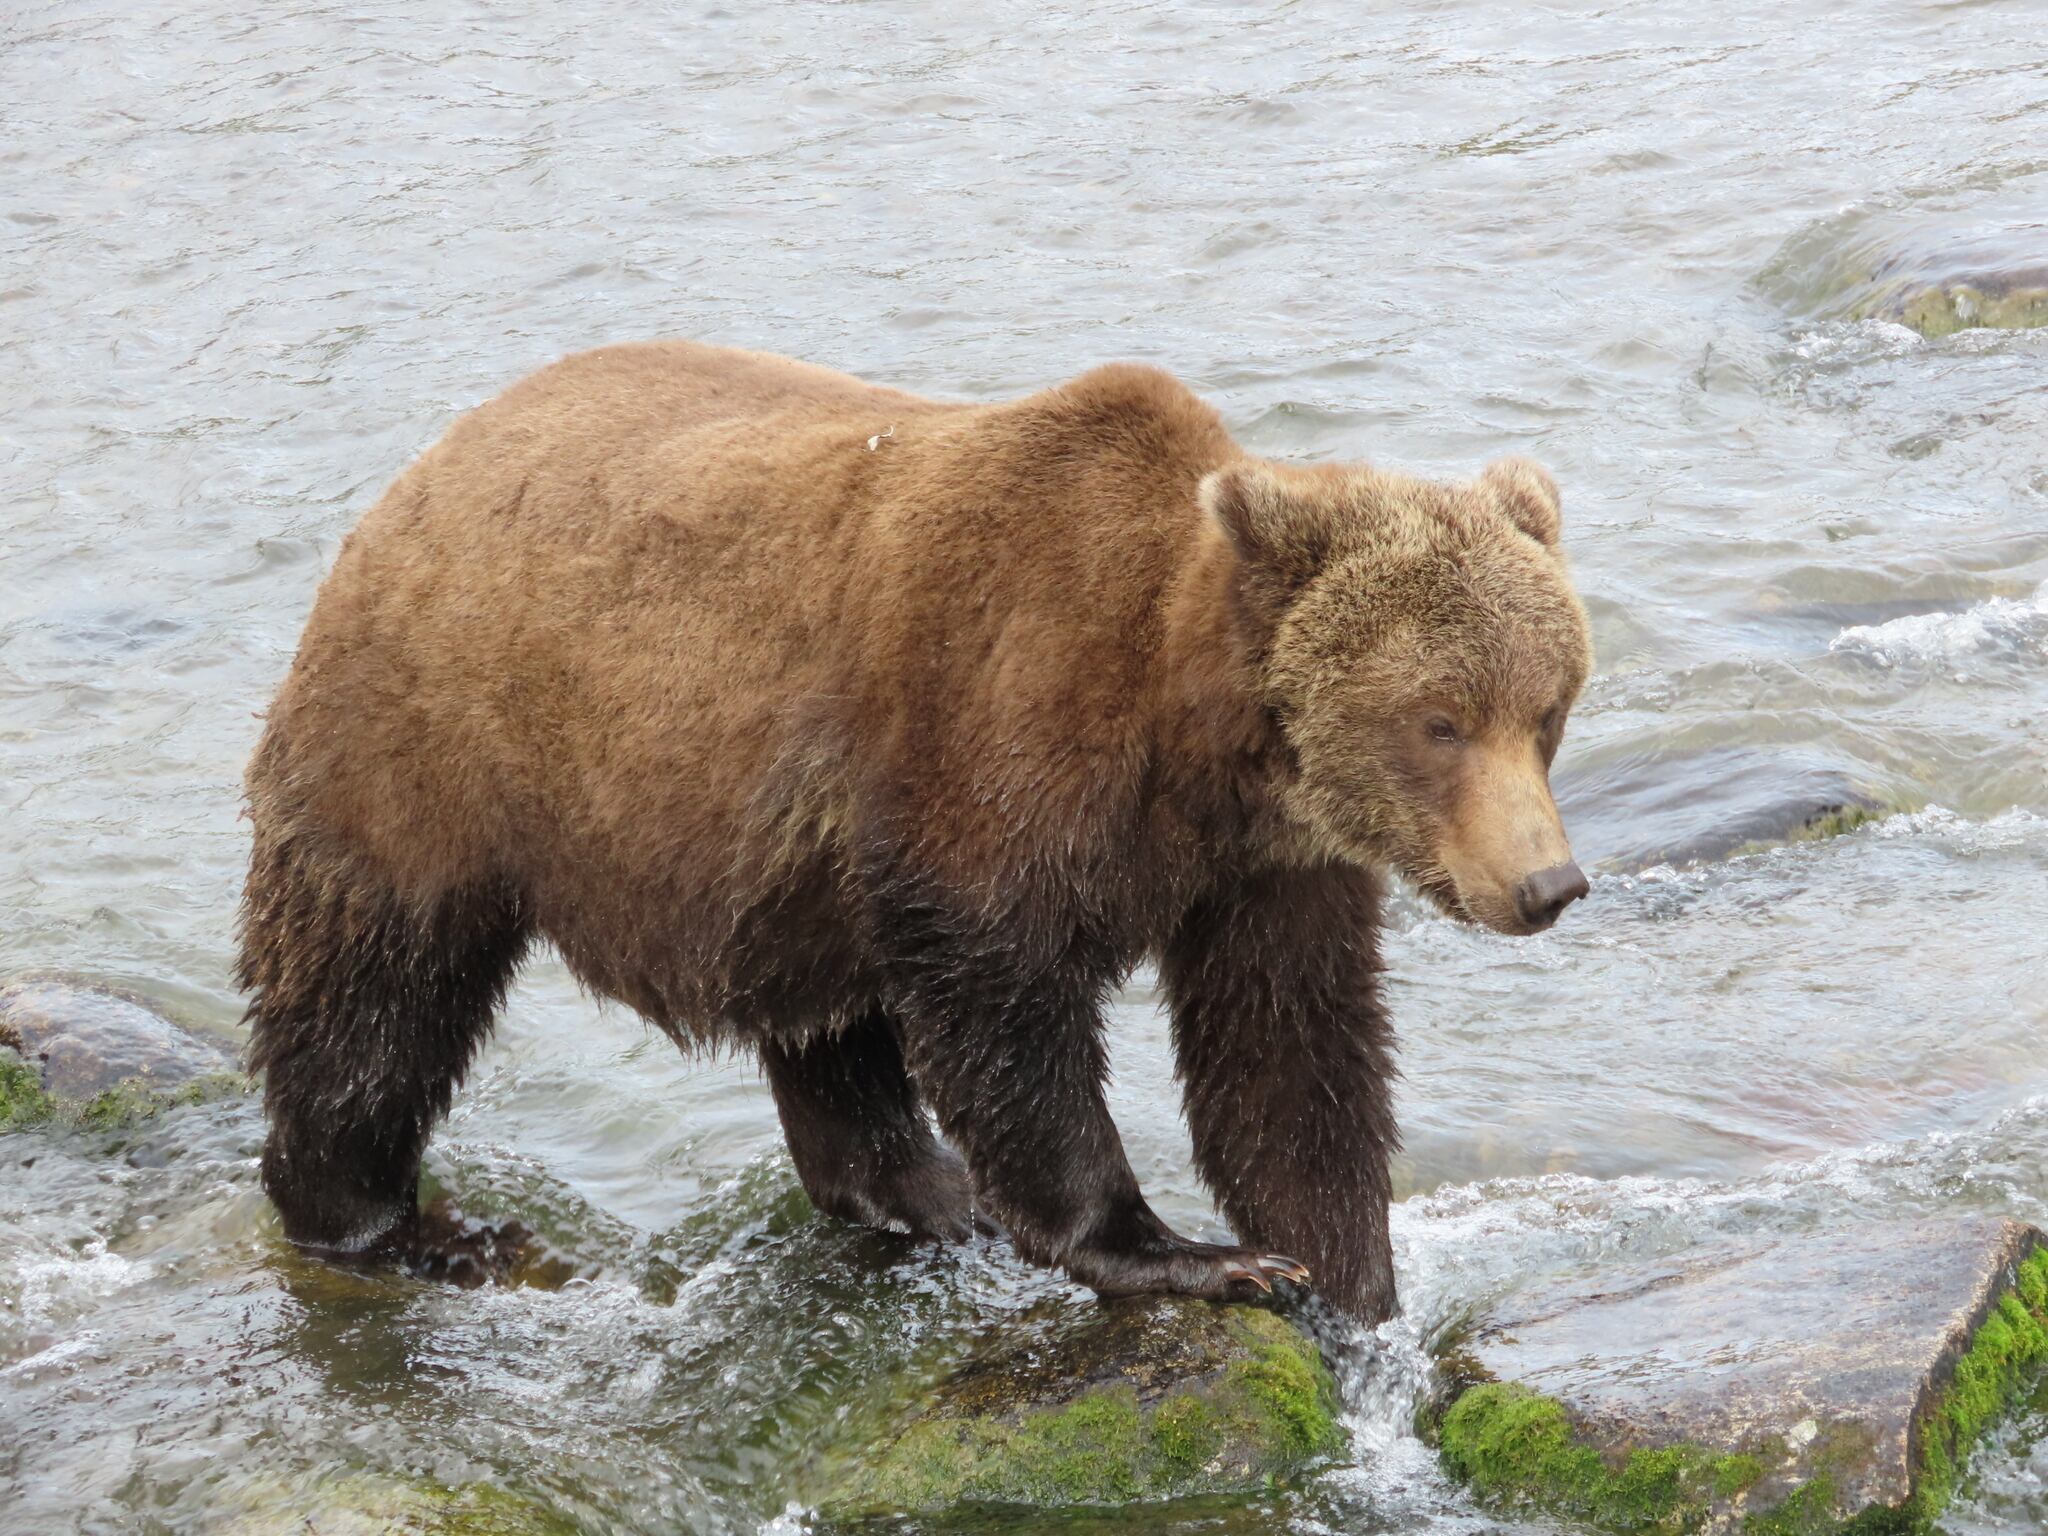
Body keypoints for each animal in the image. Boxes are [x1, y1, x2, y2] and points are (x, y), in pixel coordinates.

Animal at [238, 341, 1592, 1324]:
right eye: (1438, 720)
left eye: (1547, 707)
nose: (1546, 884)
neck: (1195, 734)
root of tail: (416, 473)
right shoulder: (998, 732)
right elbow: (1004, 998)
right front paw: (1182, 1252)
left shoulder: (1265, 866)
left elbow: (1288, 1045)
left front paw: (1351, 1279)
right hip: (432, 743)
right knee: (372, 991)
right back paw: (395, 1224)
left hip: (774, 856)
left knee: (817, 1012)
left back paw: (917, 1189)